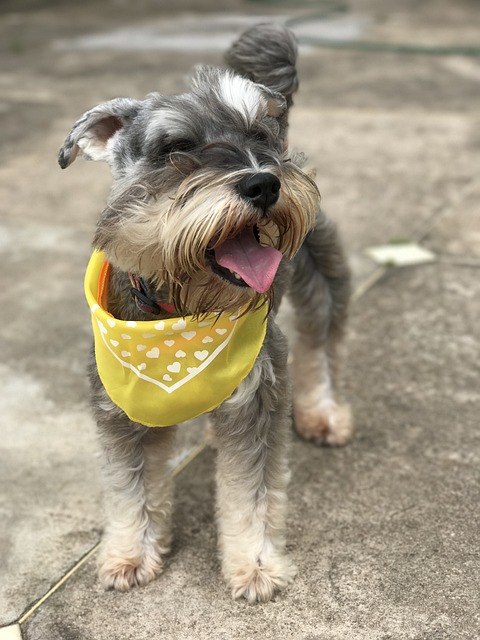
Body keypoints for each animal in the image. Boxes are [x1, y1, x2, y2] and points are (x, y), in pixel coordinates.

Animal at [59, 23, 352, 604]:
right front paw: (130, 555)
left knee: (320, 345)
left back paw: (322, 413)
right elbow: (130, 488)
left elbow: (253, 494)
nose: (264, 182)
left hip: (322, 279)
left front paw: (255, 566)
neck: (181, 312)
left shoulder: (257, 392)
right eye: (175, 148)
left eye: (258, 134)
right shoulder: (118, 410)